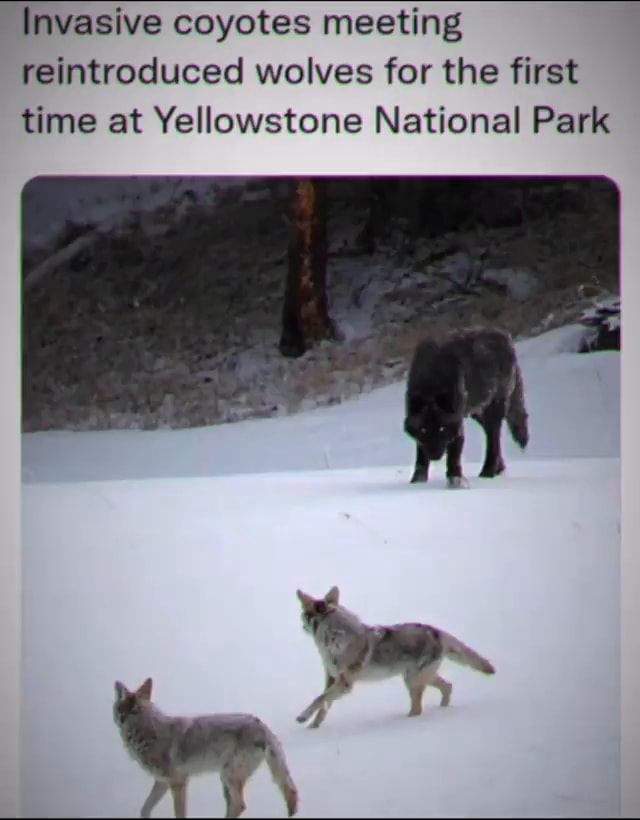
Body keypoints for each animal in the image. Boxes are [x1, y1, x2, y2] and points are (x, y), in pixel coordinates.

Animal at [113, 677, 299, 819]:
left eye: (136, 710)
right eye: (121, 708)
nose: (122, 718)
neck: (147, 734)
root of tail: (262, 726)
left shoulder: (178, 782)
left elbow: (179, 814)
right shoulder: (162, 782)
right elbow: (145, 809)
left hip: (228, 777)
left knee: (240, 805)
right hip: (226, 780)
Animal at [295, 586, 495, 729]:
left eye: (303, 614)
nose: (301, 626)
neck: (333, 640)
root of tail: (437, 632)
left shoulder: (344, 684)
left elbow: (319, 699)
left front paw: (302, 717)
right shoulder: (331, 679)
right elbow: (323, 706)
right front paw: (313, 728)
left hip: (413, 680)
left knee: (419, 708)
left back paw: (407, 722)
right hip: (419, 677)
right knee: (447, 686)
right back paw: (442, 710)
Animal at [404, 326, 529, 488]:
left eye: (442, 429)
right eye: (423, 430)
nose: (435, 455)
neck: (432, 379)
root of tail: (505, 335)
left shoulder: (457, 423)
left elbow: (454, 455)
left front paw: (455, 481)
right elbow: (420, 456)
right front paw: (417, 482)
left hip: (493, 409)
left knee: (493, 438)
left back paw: (488, 472)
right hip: (477, 413)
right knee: (490, 434)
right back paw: (498, 469)